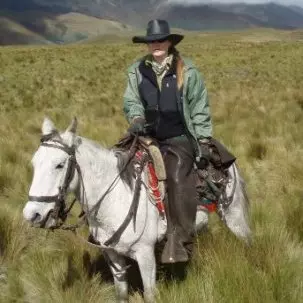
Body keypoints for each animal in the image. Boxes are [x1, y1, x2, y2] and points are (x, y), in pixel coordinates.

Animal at [23, 117, 252, 302]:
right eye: (34, 164)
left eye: (60, 165)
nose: (32, 214)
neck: (116, 197)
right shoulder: (113, 257)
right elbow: (121, 294)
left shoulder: (145, 254)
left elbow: (150, 294)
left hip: (234, 216)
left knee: (247, 240)